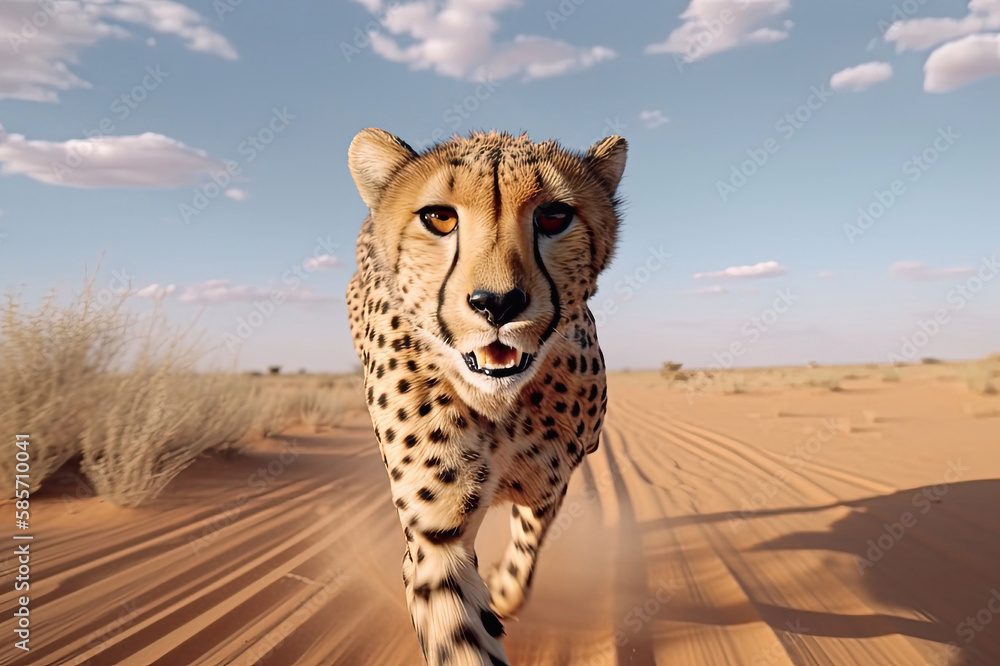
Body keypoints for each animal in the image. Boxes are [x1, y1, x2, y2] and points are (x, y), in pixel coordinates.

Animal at [345, 127, 627, 666]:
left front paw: (503, 589)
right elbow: (459, 637)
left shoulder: (551, 483)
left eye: (554, 216)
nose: (497, 303)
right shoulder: (437, 538)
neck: (502, 406)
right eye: (439, 217)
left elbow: (527, 549)